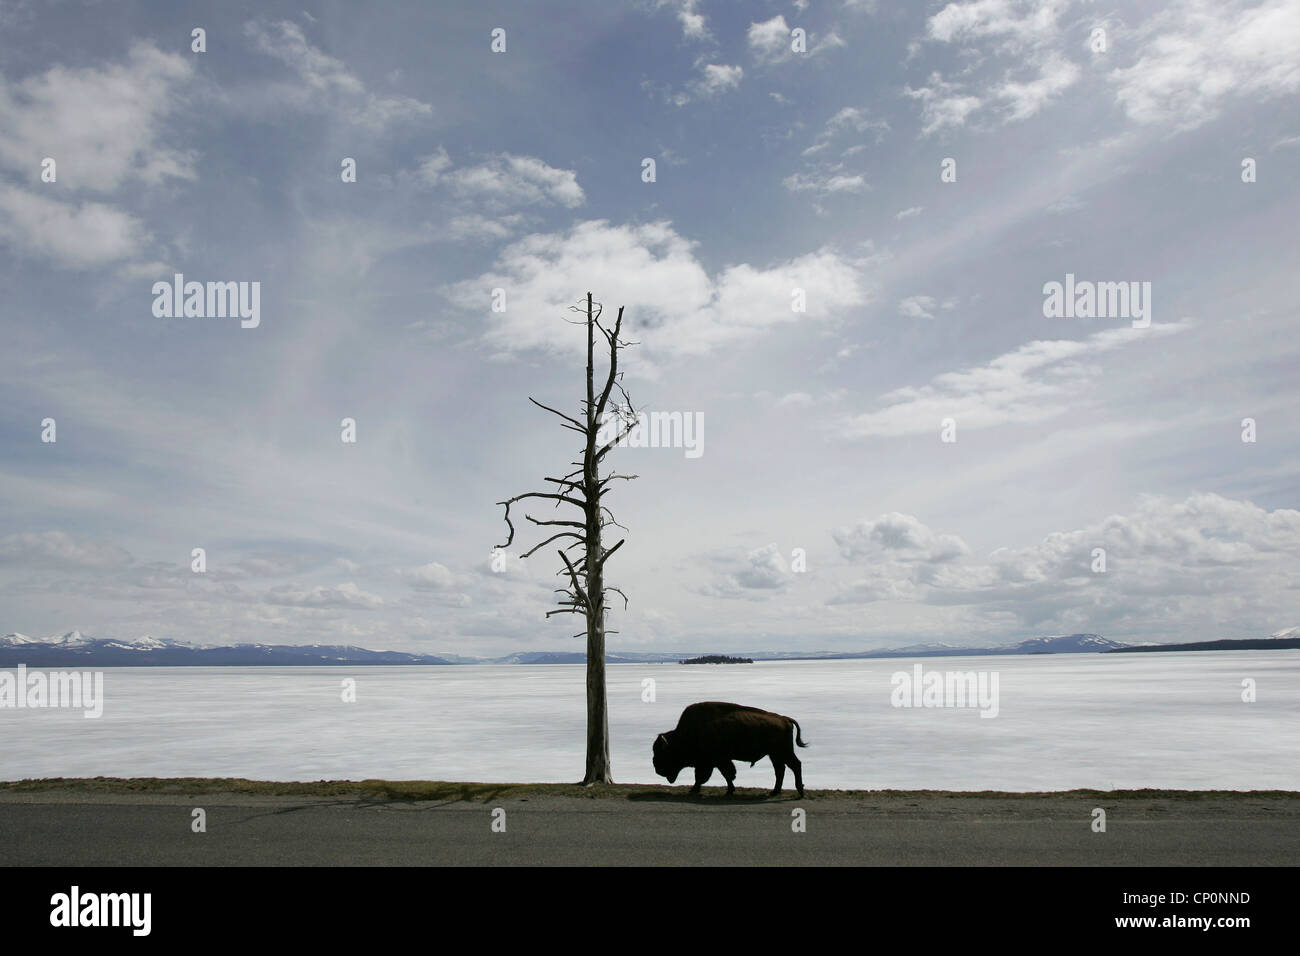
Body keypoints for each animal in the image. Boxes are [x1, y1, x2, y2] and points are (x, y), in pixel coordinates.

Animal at [653, 701, 808, 797]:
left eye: (663, 753)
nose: (657, 769)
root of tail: (785, 719)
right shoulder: (716, 762)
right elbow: (725, 775)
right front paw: (729, 790)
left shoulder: (714, 761)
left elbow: (716, 775)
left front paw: (694, 790)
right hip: (775, 755)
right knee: (780, 770)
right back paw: (775, 791)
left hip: (783, 752)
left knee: (795, 765)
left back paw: (799, 791)